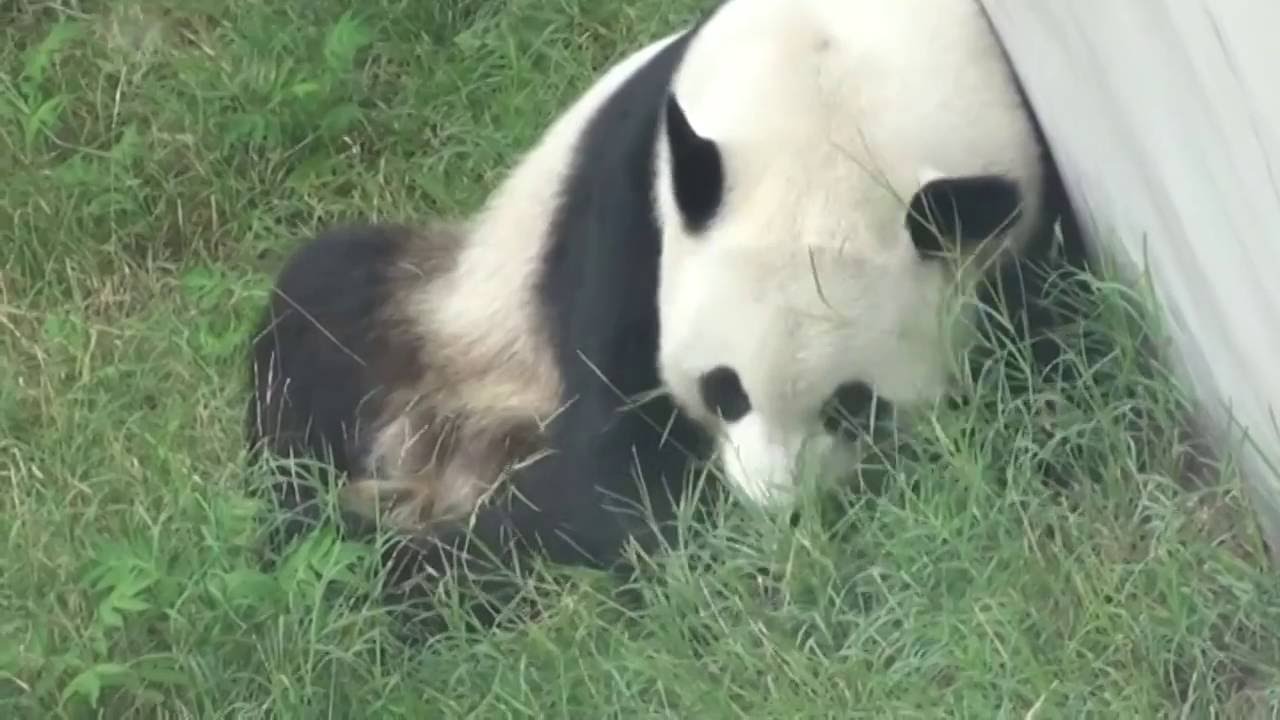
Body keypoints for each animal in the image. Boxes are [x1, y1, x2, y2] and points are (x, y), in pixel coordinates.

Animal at [246, 0, 1069, 629]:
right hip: (453, 322)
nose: (775, 510)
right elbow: (610, 458)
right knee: (320, 316)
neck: (831, 70)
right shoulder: (633, 196)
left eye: (855, 405)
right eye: (725, 389)